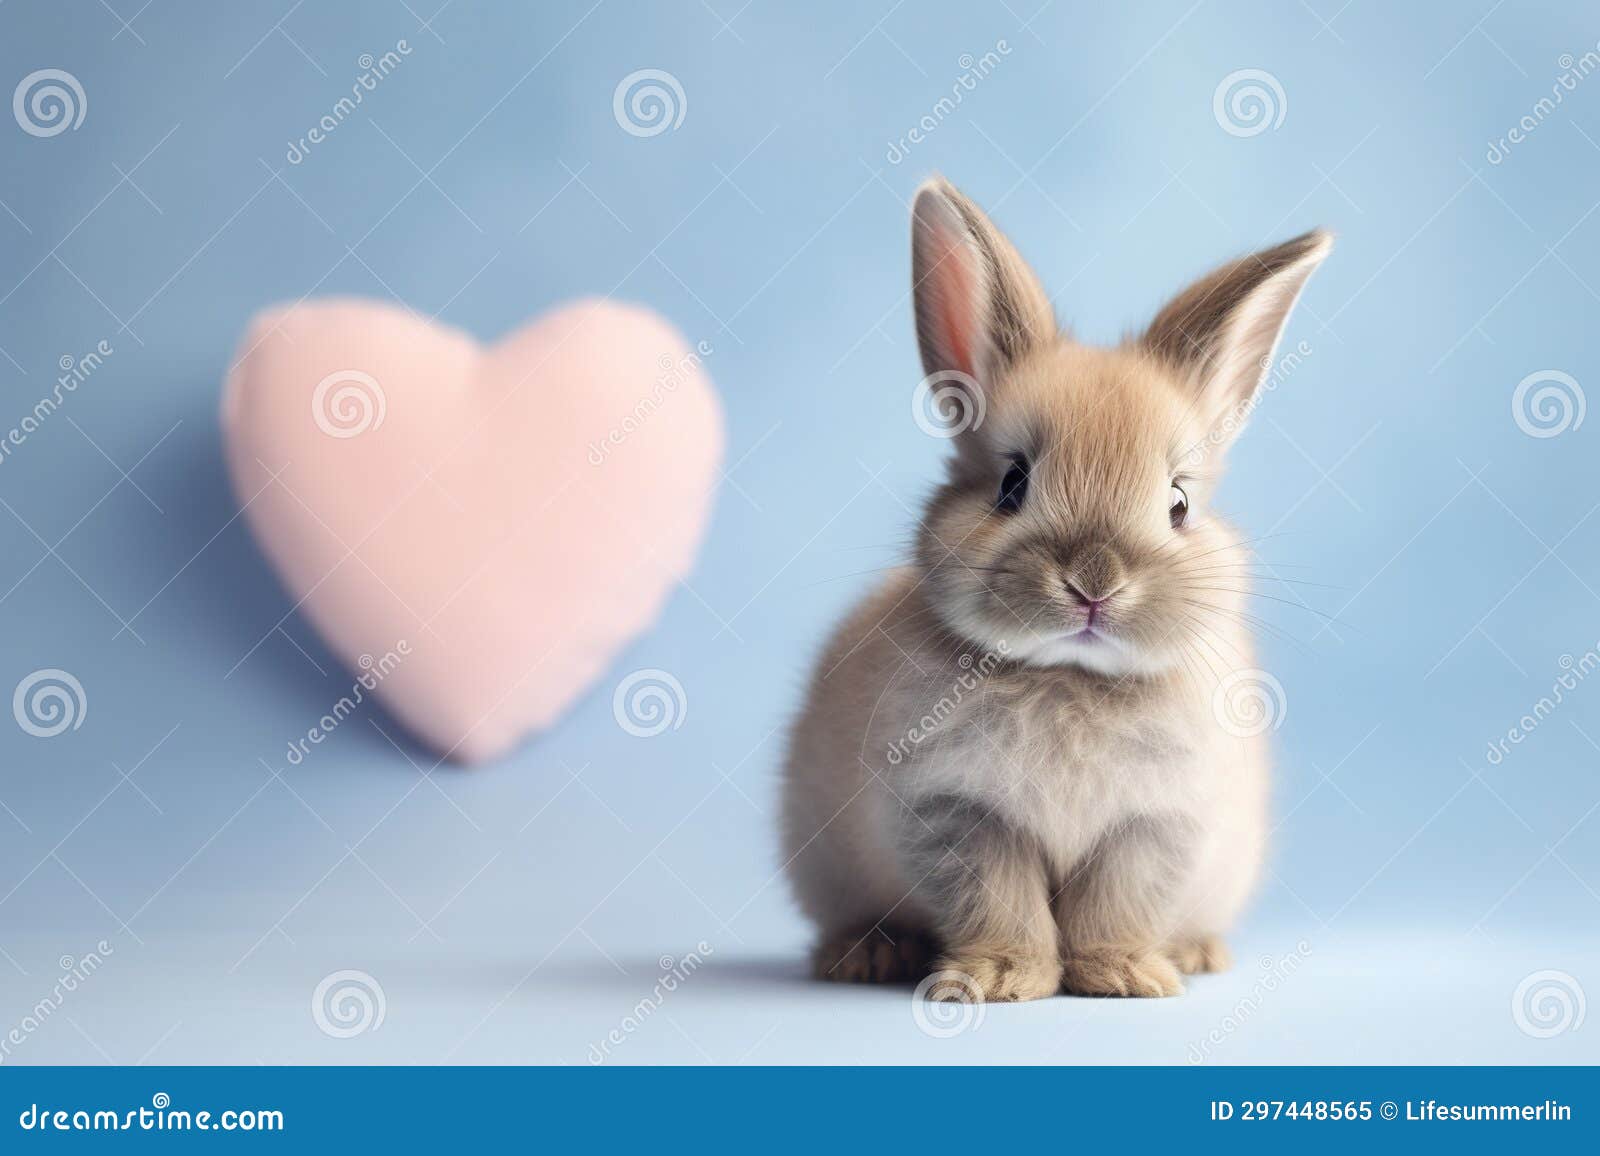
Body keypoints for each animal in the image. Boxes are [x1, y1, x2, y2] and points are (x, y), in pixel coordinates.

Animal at [779, 176, 1331, 1002]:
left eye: (1179, 503)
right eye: (1012, 484)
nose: (1095, 582)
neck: (1071, 673)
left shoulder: (1152, 827)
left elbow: (1114, 905)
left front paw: (1127, 976)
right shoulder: (960, 815)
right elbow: (999, 901)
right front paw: (999, 978)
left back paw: (1195, 953)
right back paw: (867, 955)